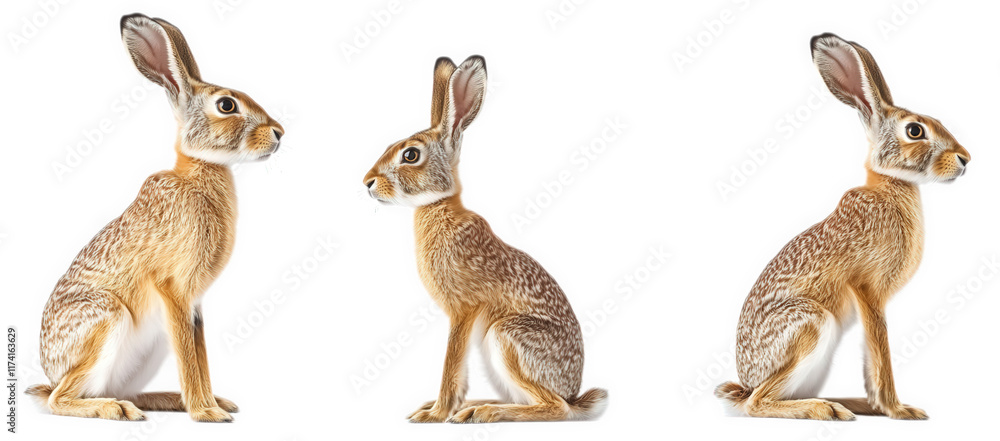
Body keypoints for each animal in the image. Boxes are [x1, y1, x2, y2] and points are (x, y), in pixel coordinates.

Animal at [24, 13, 283, 422]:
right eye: (226, 105)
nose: (279, 134)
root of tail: (51, 374)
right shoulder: (173, 288)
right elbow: (190, 357)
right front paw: (206, 414)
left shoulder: (194, 305)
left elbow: (199, 354)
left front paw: (211, 406)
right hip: (107, 319)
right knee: (59, 399)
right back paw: (115, 409)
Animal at [362, 55, 608, 423]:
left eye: (410, 155)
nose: (367, 182)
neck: (439, 206)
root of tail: (574, 393)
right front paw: (436, 410)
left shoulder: (464, 310)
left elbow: (452, 363)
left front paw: (435, 415)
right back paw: (472, 408)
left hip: (506, 337)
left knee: (555, 407)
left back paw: (483, 413)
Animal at [714, 33, 971, 421]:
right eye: (915, 130)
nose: (965, 160)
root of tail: (744, 381)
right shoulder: (867, 288)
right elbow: (880, 350)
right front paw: (899, 410)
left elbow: (870, 355)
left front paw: (884, 406)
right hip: (810, 324)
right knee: (757, 402)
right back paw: (825, 410)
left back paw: (850, 404)